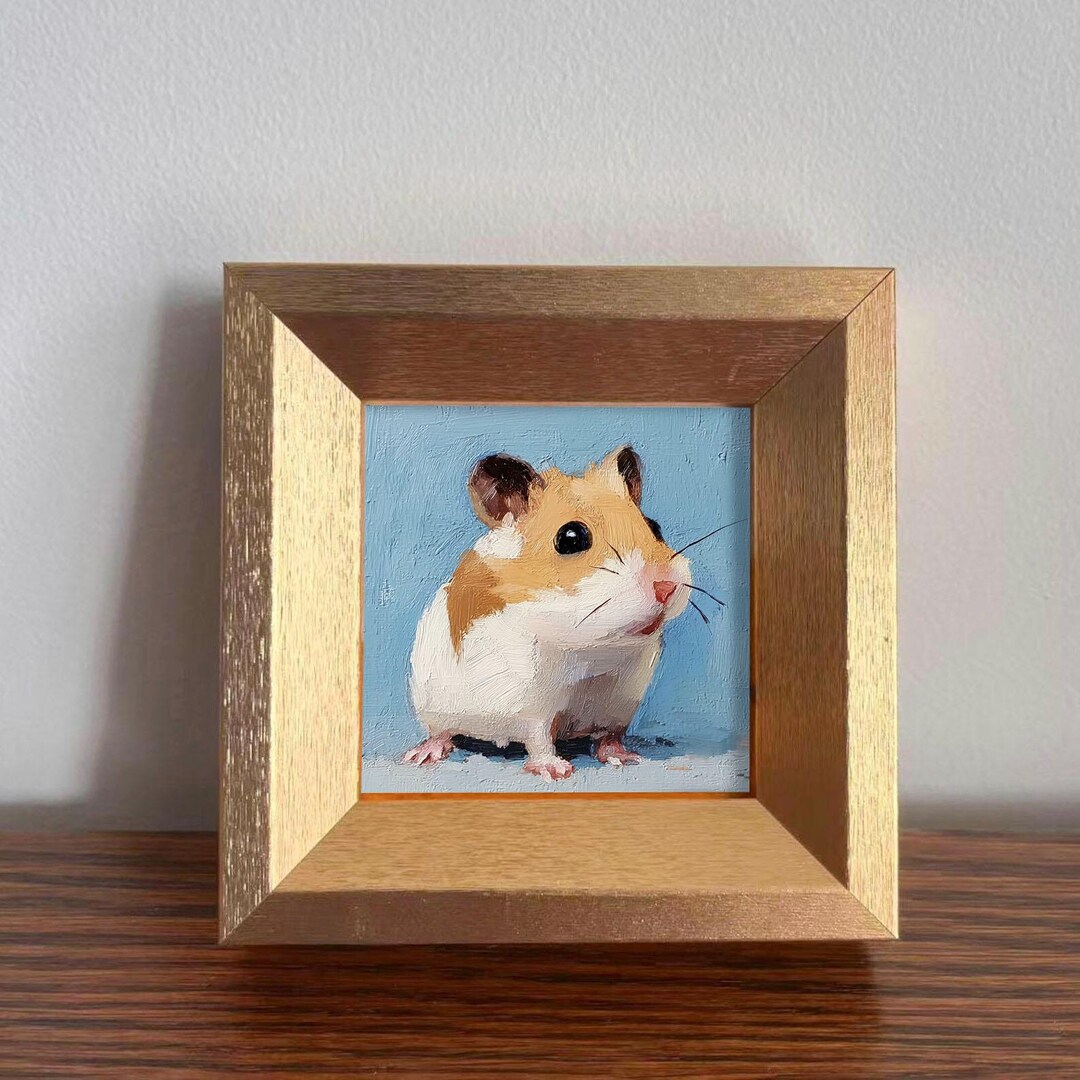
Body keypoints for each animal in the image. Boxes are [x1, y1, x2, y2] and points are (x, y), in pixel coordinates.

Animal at [403, 445, 691, 781]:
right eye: (570, 537)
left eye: (654, 526)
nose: (666, 587)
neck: (593, 648)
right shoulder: (531, 702)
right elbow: (539, 738)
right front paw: (557, 771)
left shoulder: (620, 701)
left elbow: (611, 733)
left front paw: (626, 757)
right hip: (431, 701)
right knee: (441, 731)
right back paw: (421, 755)